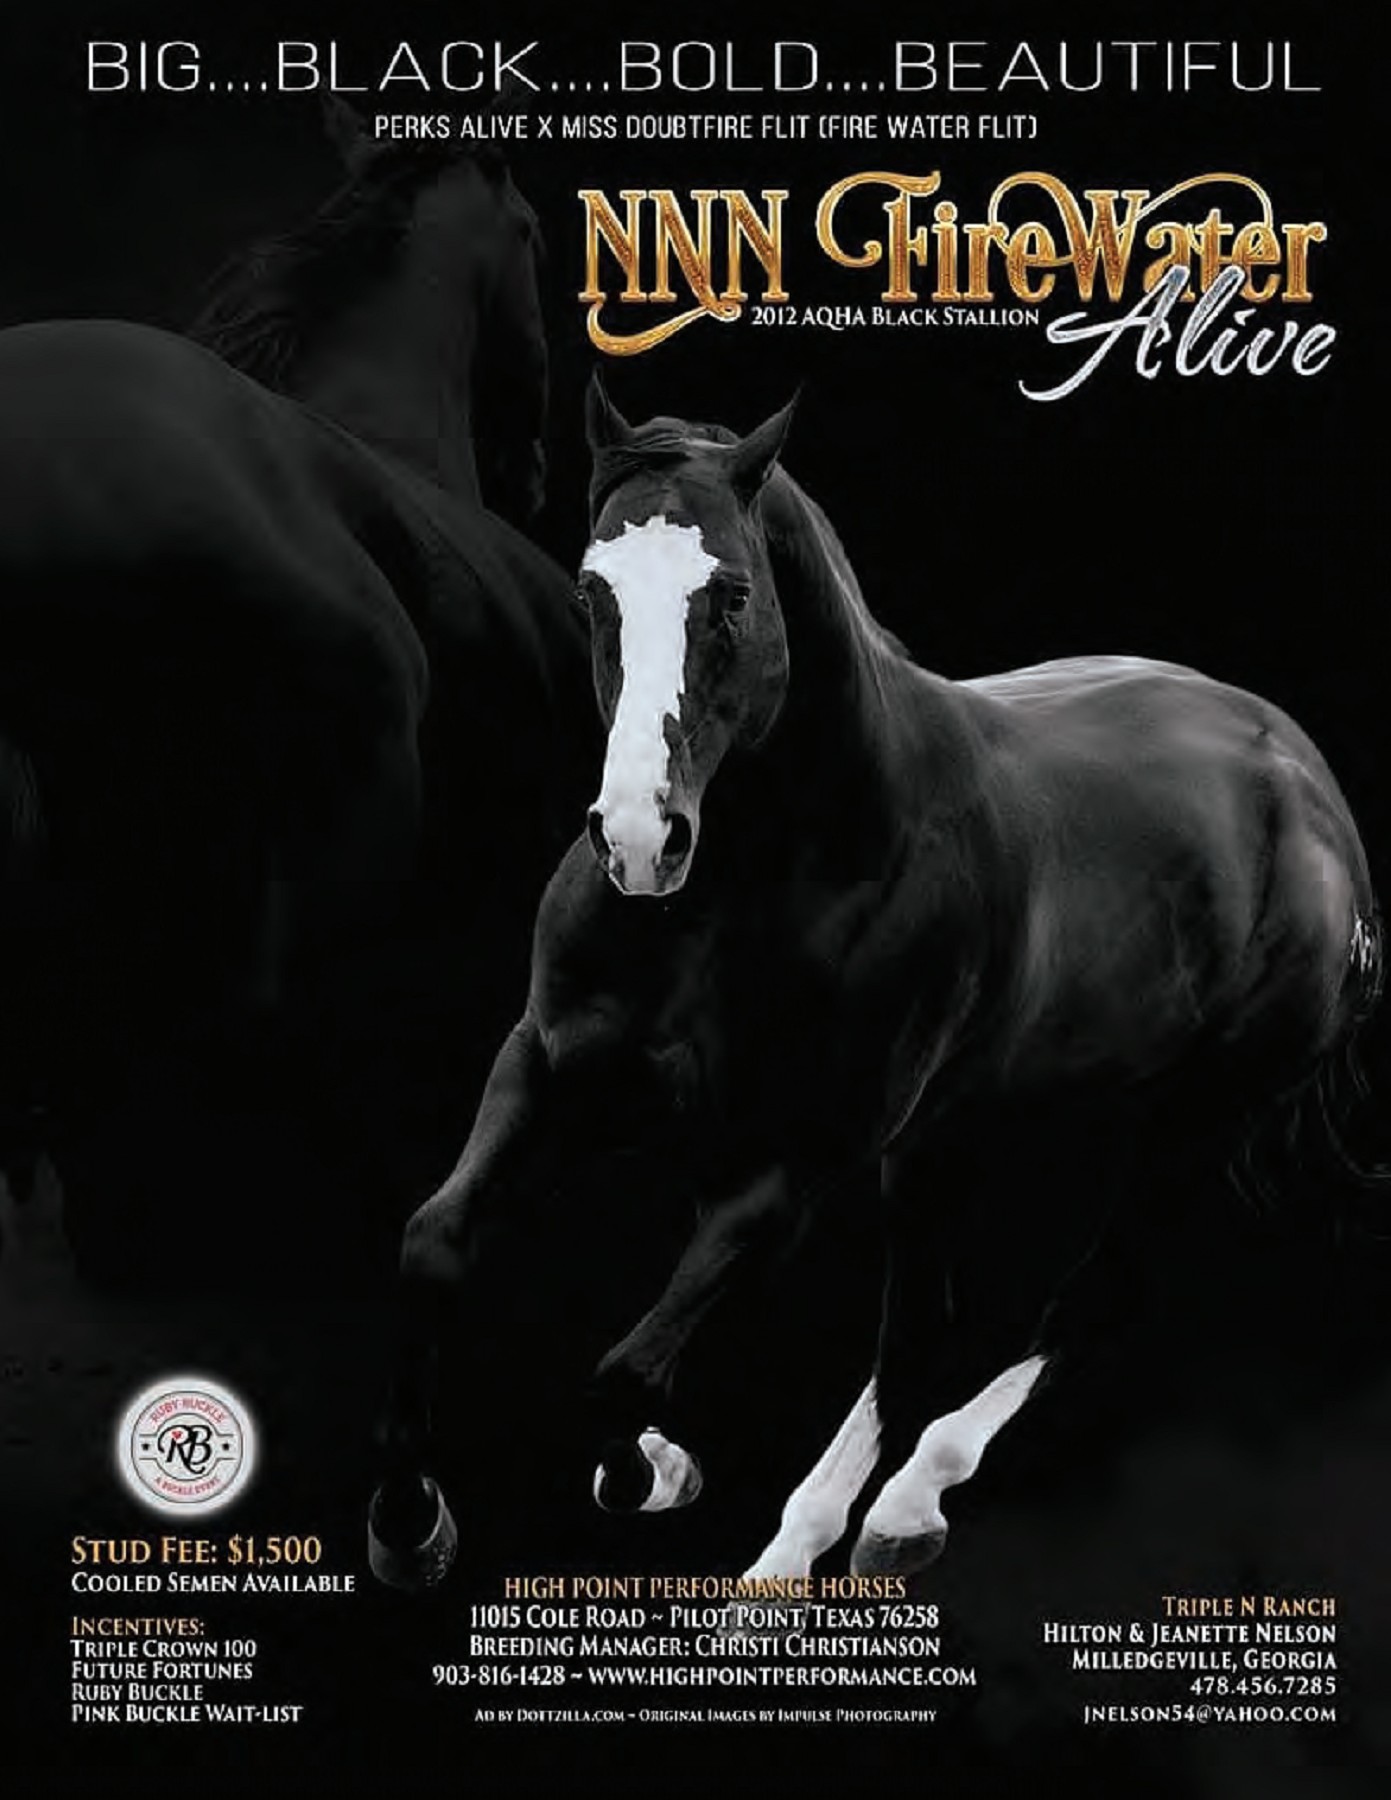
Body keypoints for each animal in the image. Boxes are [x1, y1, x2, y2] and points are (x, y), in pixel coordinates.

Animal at [366, 380, 1383, 1589]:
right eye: (591, 587)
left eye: (731, 593)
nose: (638, 841)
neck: (748, 888)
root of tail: (1308, 784)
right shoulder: (550, 1064)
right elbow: (432, 1244)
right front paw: (409, 1524)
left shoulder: (800, 1159)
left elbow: (626, 1370)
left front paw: (653, 1470)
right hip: (950, 1138)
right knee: (917, 1336)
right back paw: (795, 1560)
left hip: (1183, 1128)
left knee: (1079, 1299)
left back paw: (896, 1512)